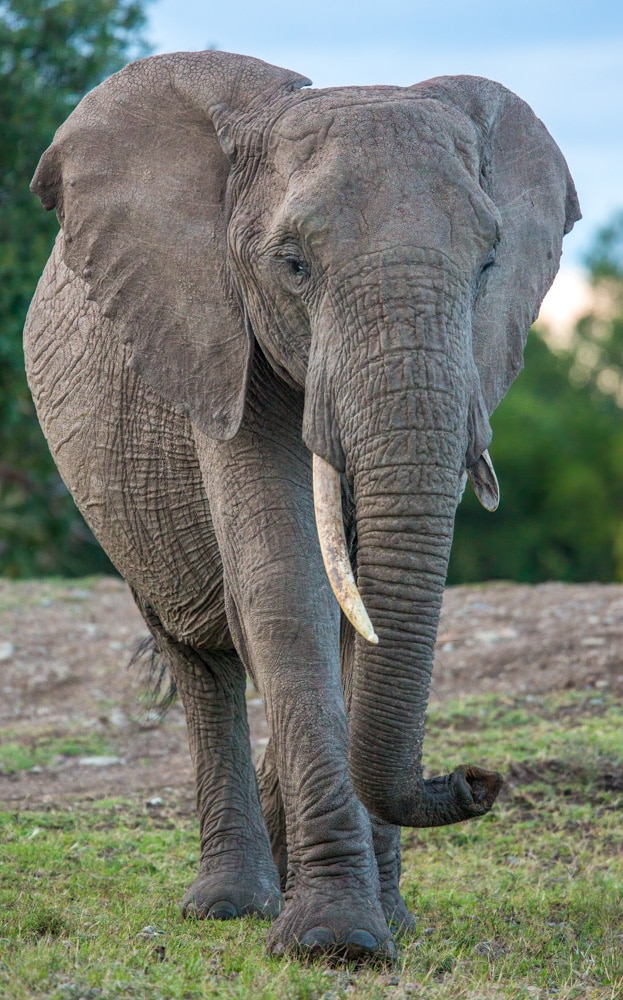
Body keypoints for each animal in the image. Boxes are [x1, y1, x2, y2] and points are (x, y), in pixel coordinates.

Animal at [24, 50, 580, 962]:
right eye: (291, 264)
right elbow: (288, 590)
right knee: (202, 661)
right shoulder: (219, 337)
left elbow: (367, 615)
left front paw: (385, 927)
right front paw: (334, 943)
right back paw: (230, 905)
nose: (477, 778)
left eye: (489, 263)